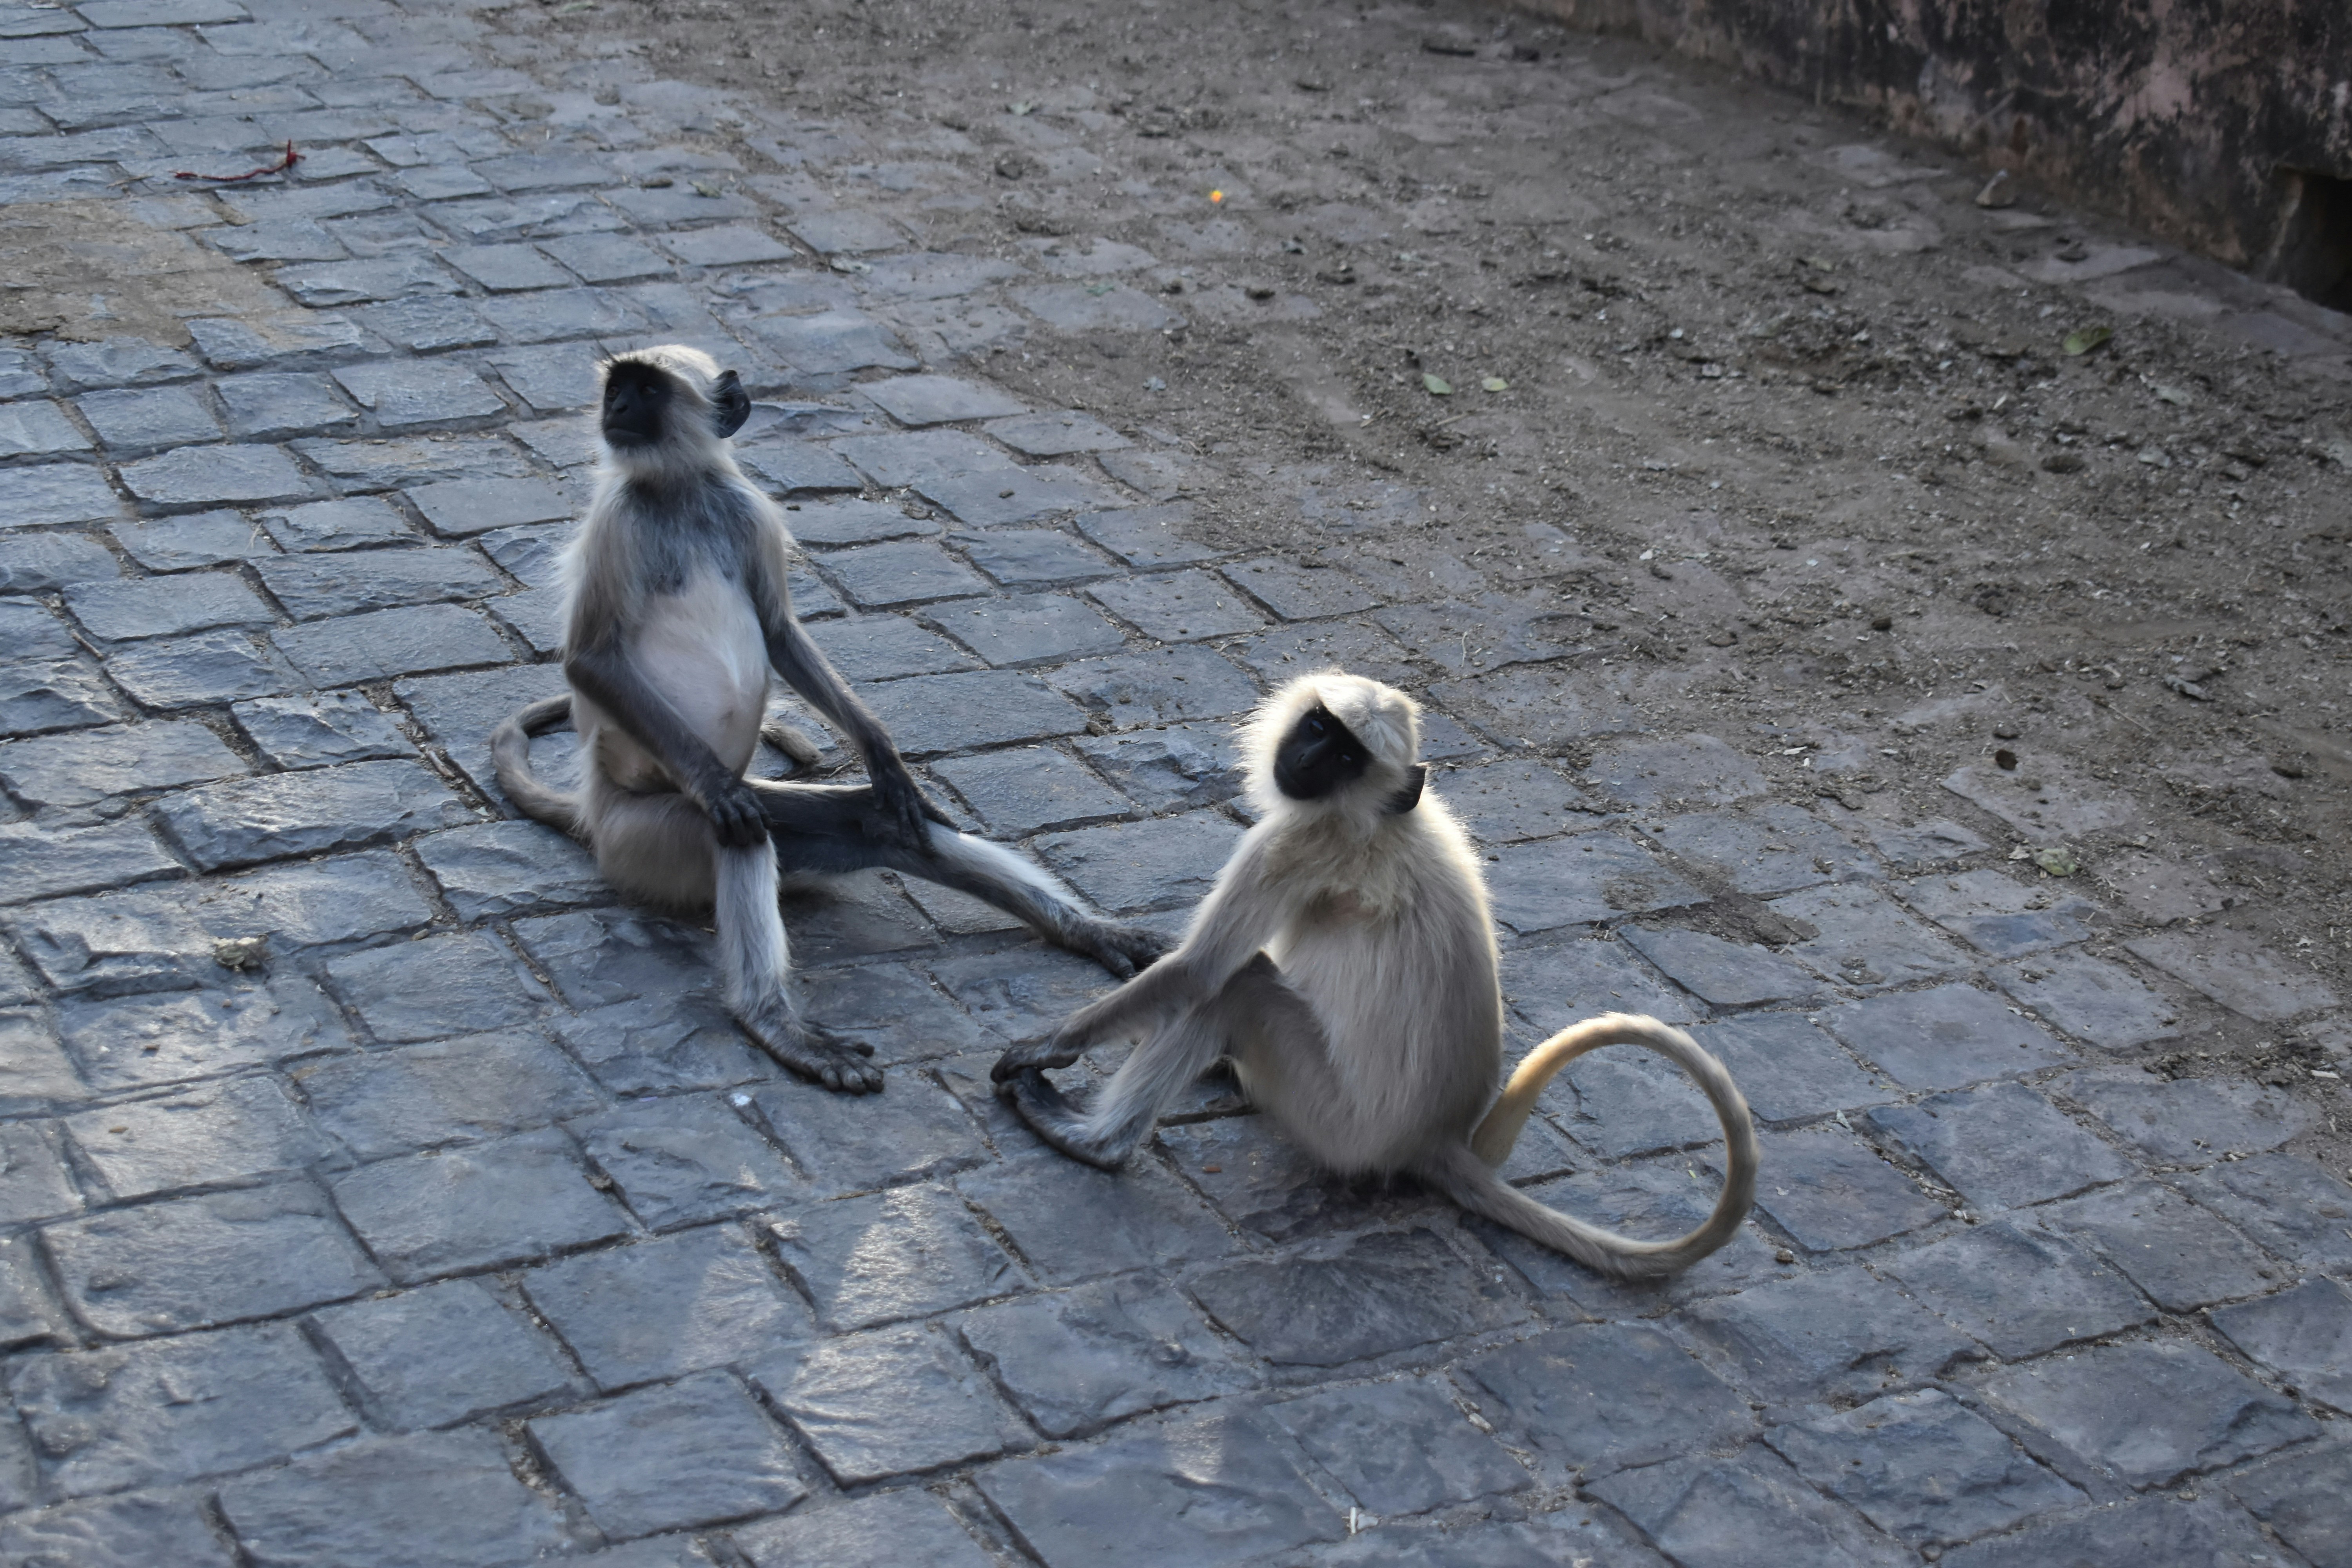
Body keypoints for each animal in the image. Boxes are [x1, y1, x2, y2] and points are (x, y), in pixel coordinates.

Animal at [492, 345, 1166, 1094]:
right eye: (618, 388)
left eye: (646, 391)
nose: (615, 409)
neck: (682, 491)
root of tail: (595, 805)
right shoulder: (618, 521)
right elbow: (589, 662)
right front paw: (719, 786)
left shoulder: (749, 513)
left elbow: (780, 633)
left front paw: (881, 750)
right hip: (645, 835)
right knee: (740, 832)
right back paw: (778, 1024)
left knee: (885, 821)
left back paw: (1085, 931)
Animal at [992, 671, 1759, 1278]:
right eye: (1320, 726)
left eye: (1345, 757)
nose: (1307, 756)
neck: (1378, 818)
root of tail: (1432, 1138)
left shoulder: (1293, 845)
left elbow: (1199, 973)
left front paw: (1041, 1048)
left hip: (1335, 1122)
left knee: (1241, 986)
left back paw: (1094, 1144)